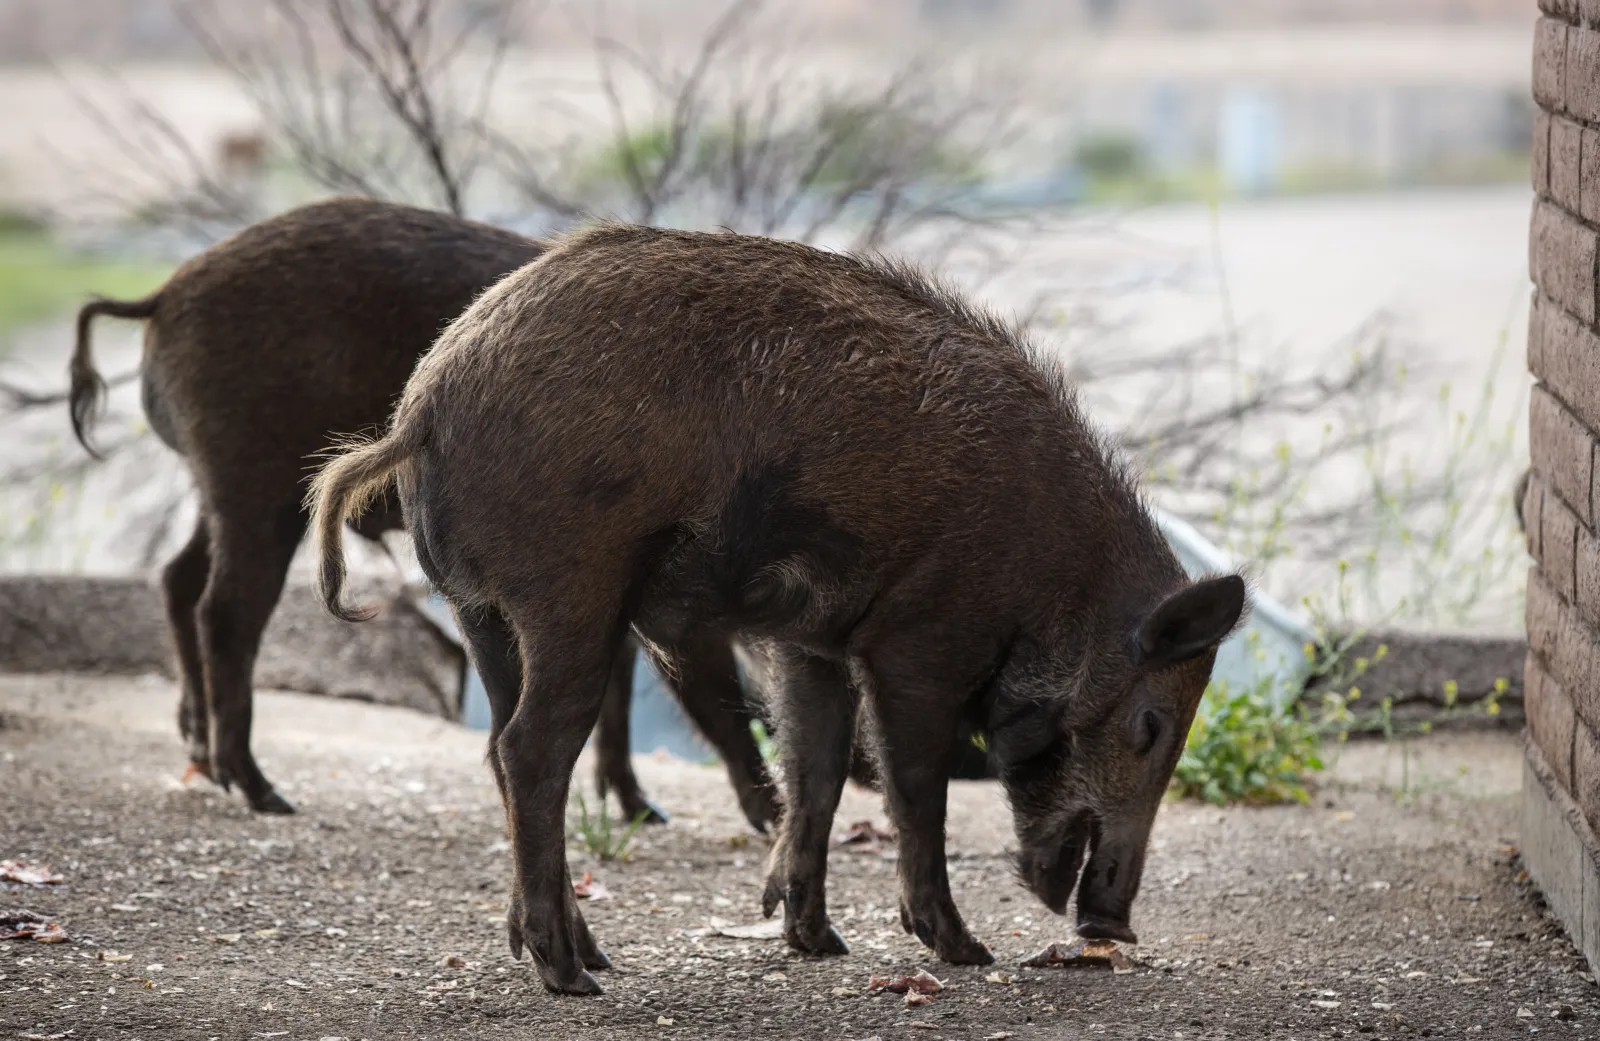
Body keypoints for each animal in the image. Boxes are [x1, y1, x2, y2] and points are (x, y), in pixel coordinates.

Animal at [68, 197, 777, 828]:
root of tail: (163, 293)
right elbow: (713, 695)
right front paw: (758, 818)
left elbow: (623, 691)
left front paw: (644, 813)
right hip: (253, 486)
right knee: (225, 614)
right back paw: (264, 794)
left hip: (217, 490)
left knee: (178, 578)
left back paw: (207, 759)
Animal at [309, 223, 1247, 995]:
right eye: (1152, 725)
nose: (1115, 924)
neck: (1057, 574)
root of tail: (421, 412)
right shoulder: (915, 646)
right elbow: (917, 790)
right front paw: (964, 951)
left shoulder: (814, 643)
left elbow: (818, 770)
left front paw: (816, 940)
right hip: (568, 598)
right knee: (530, 751)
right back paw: (573, 976)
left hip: (482, 614)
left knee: (501, 751)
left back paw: (591, 955)